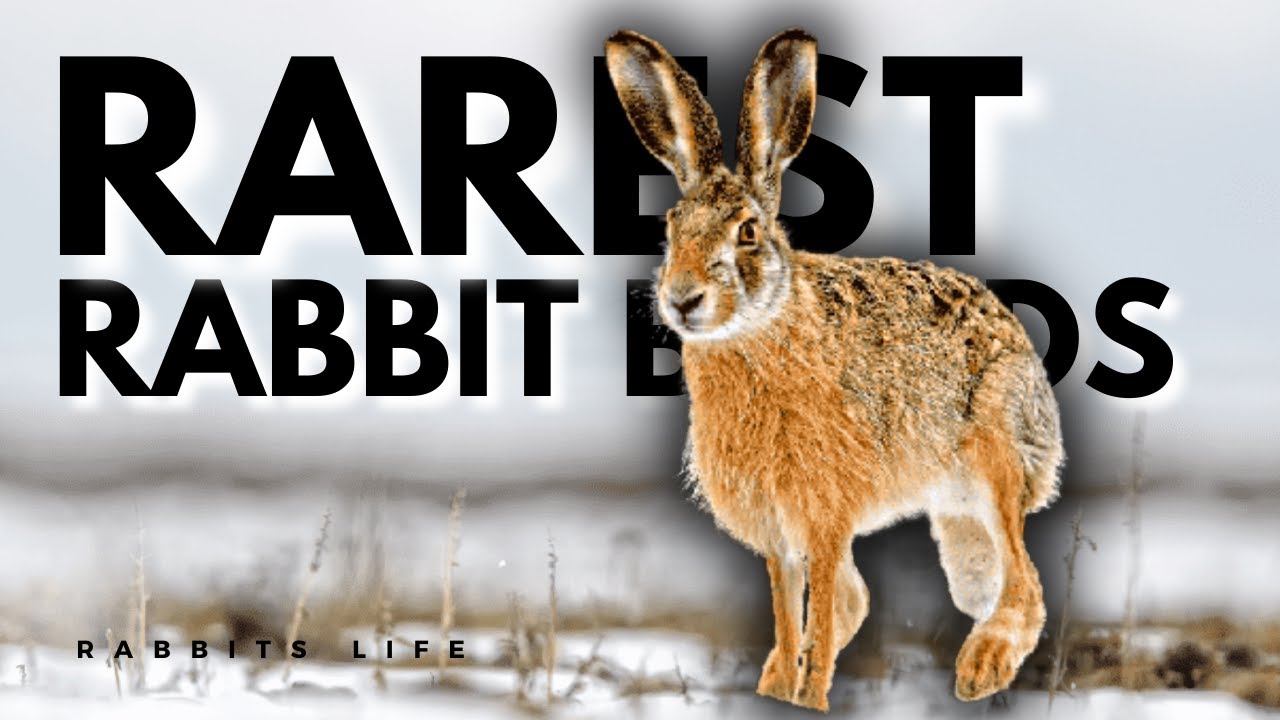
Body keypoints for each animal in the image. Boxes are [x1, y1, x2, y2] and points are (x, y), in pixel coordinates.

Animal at [605, 28, 1064, 711]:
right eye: (670, 226)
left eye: (747, 232)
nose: (683, 298)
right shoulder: (779, 534)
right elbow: (791, 611)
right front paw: (779, 695)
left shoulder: (824, 516)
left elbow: (817, 621)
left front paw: (812, 698)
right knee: (864, 596)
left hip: (998, 453)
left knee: (1023, 583)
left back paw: (981, 669)